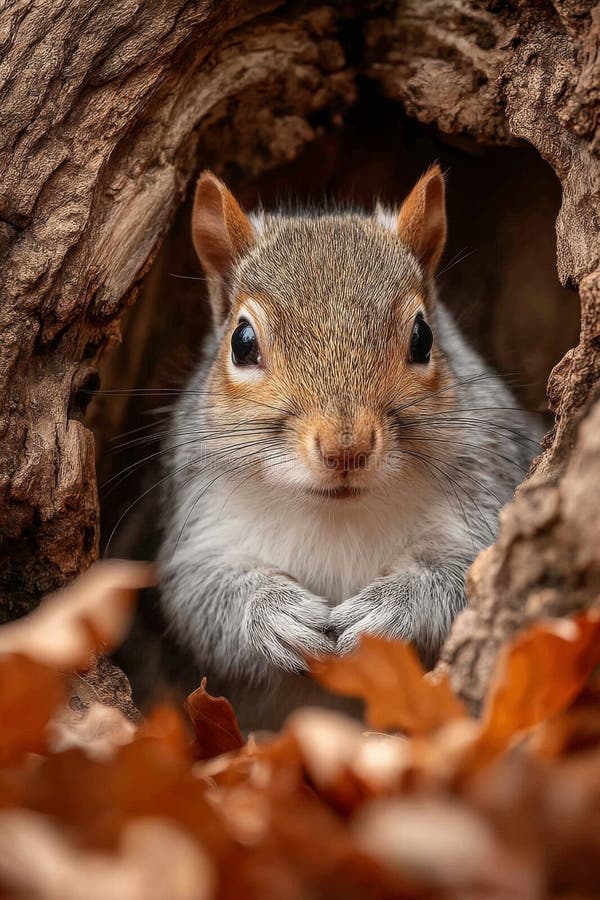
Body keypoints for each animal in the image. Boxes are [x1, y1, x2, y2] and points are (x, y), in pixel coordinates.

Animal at [157, 165, 541, 730]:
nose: (346, 448)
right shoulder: (201, 521)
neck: (338, 514)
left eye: (424, 337)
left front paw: (390, 610)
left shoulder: (491, 485)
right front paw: (275, 615)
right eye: (242, 342)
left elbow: (473, 578)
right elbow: (195, 597)